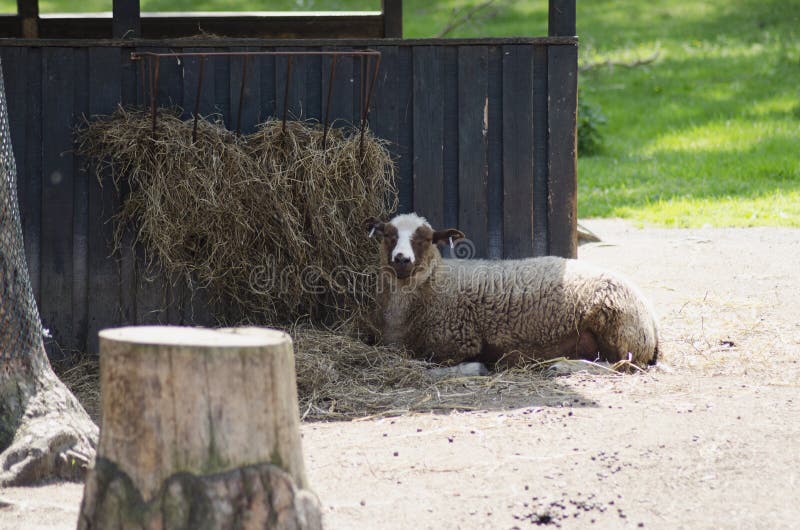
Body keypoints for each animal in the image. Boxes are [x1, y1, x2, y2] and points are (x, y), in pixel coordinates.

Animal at [364, 213, 658, 368]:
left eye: (425, 239)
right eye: (388, 235)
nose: (402, 259)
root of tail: (652, 322)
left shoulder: (458, 342)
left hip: (616, 327)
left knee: (619, 365)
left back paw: (561, 366)